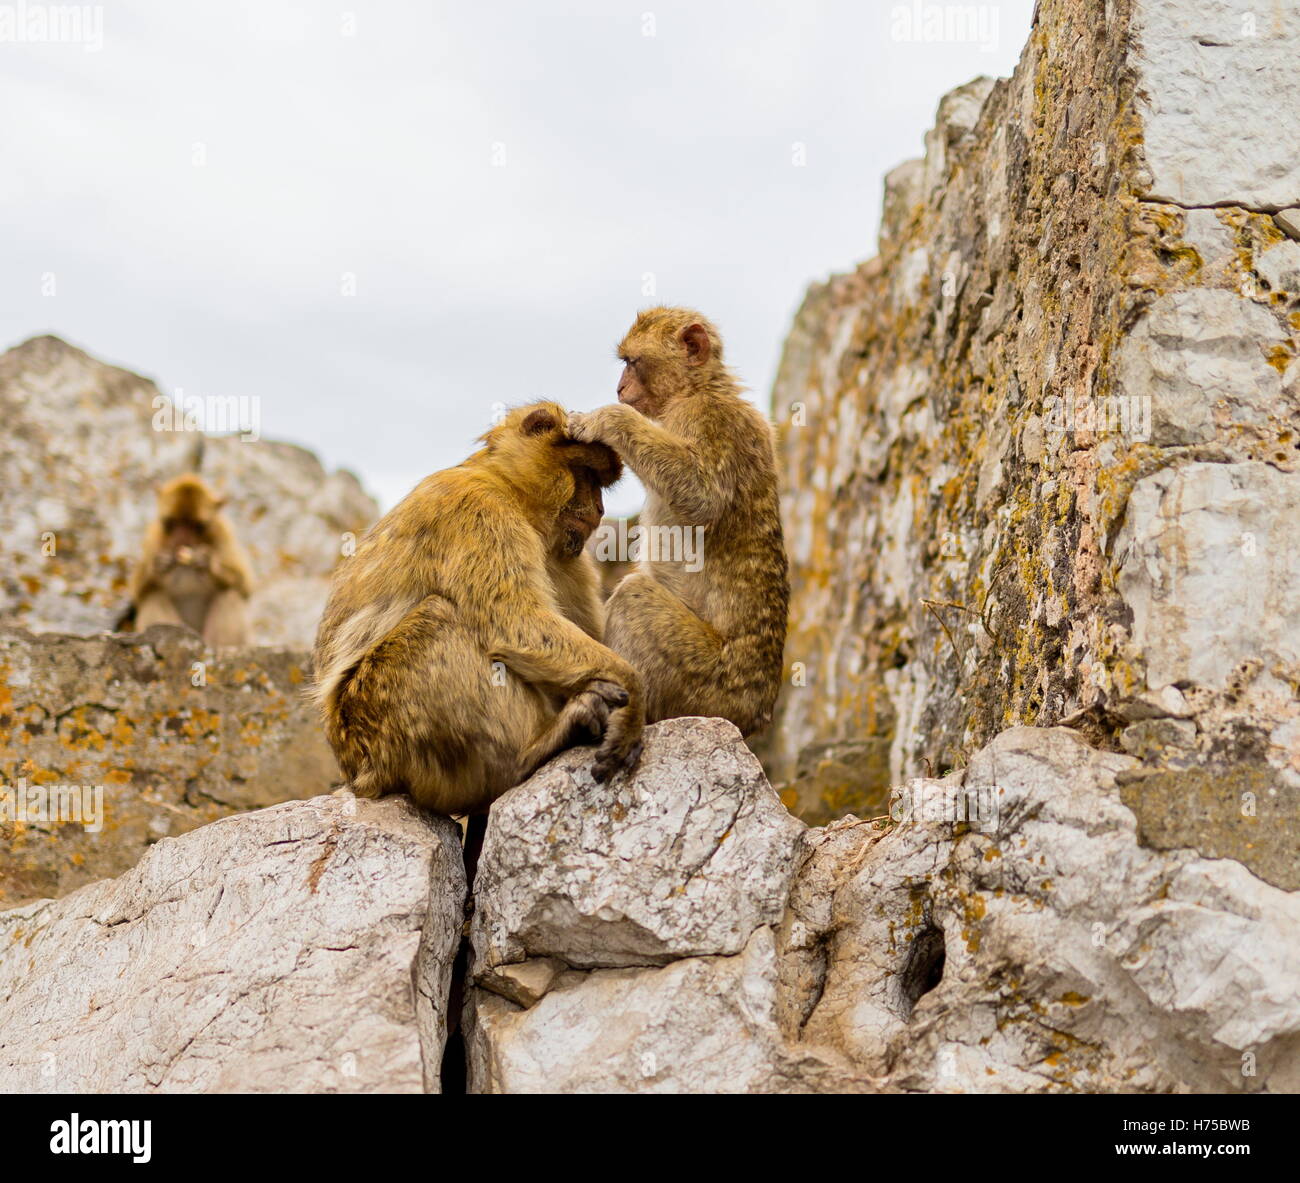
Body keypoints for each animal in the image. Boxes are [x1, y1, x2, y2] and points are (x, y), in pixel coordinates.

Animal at [128, 474, 254, 648]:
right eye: (171, 522)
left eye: (198, 526)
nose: (182, 542)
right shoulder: (152, 540)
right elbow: (138, 592)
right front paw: (158, 566)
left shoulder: (224, 536)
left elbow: (245, 584)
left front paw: (207, 564)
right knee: (153, 594)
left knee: (230, 593)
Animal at [310, 401, 645, 817]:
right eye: (586, 472)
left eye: (601, 480)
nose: (599, 508)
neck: (507, 487)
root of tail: (356, 776)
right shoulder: (476, 509)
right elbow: (514, 622)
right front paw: (633, 692)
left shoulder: (569, 555)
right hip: (377, 734)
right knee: (439, 619)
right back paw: (530, 754)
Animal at [567, 307, 789, 737]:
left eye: (631, 362)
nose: (619, 388)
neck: (698, 389)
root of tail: (754, 715)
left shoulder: (707, 419)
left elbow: (703, 498)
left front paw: (607, 418)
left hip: (706, 685)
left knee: (635, 596)